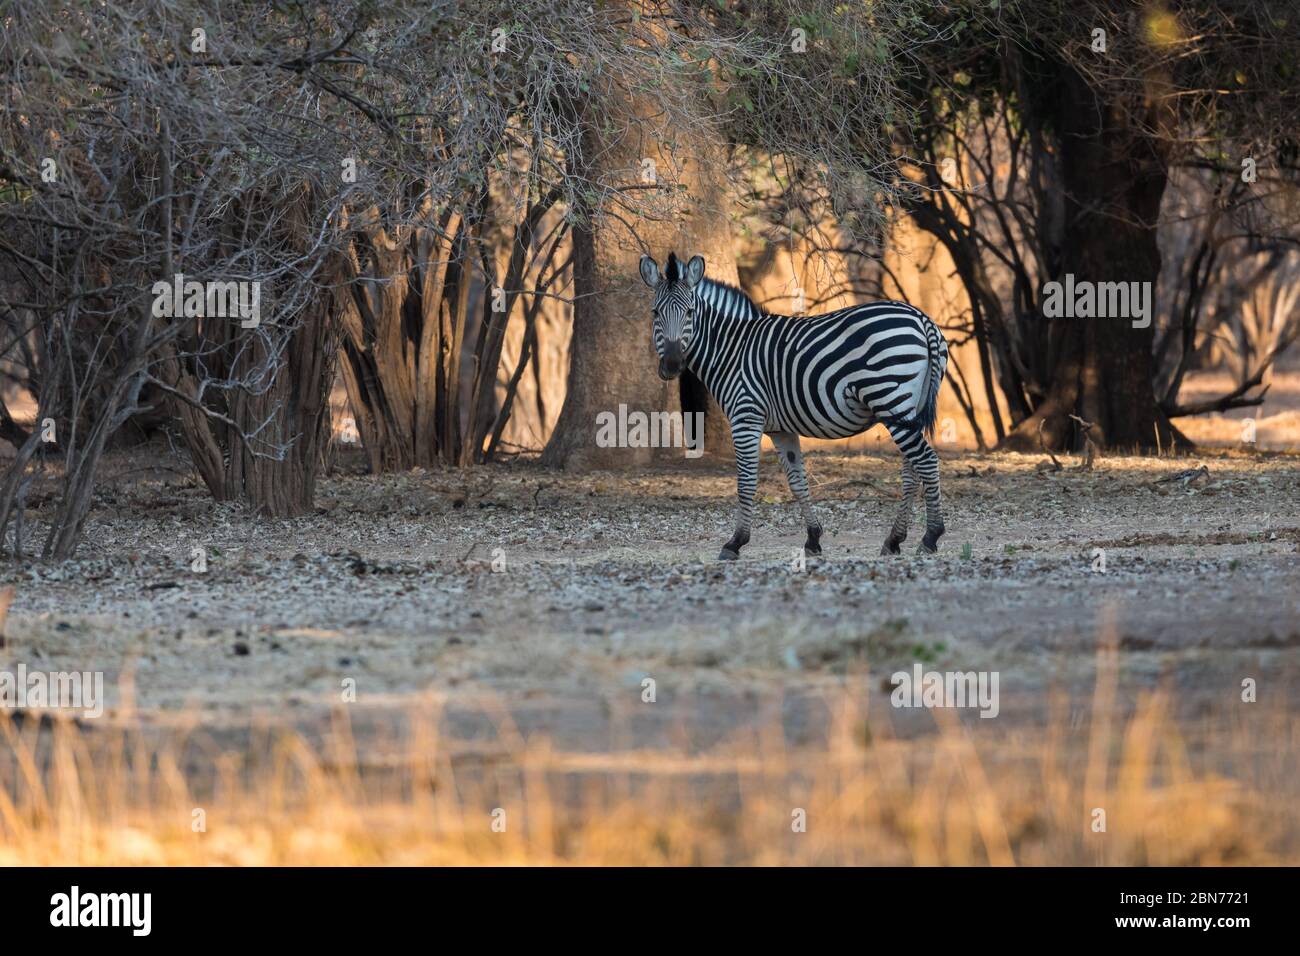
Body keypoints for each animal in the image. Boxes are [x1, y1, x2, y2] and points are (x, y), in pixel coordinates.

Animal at [640, 251, 949, 561]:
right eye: (655, 313)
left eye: (690, 313)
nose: (671, 365)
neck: (732, 349)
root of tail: (922, 318)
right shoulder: (780, 430)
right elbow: (797, 481)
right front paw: (813, 539)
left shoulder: (745, 418)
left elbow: (746, 482)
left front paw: (735, 542)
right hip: (906, 409)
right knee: (911, 470)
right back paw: (894, 540)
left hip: (890, 399)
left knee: (926, 460)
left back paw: (931, 536)